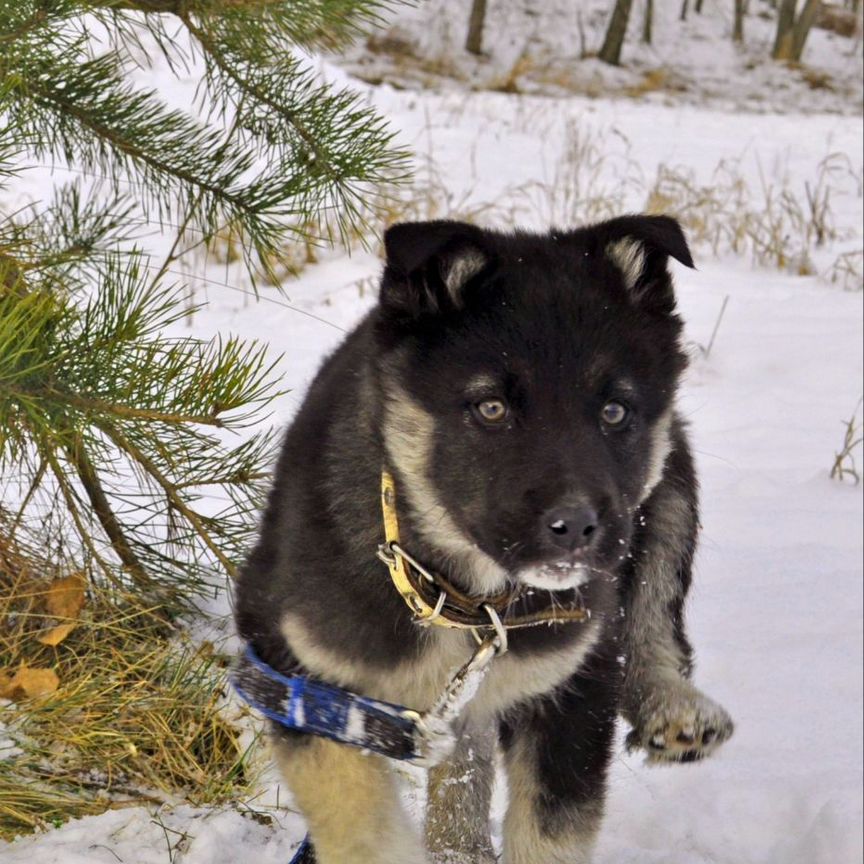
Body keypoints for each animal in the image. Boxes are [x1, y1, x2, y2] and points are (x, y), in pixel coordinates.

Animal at [238, 218, 736, 864]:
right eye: (491, 408)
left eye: (615, 411)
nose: (575, 529)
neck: (462, 596)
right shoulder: (293, 675)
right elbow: (358, 820)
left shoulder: (573, 682)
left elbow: (552, 832)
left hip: (669, 487)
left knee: (653, 608)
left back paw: (673, 705)